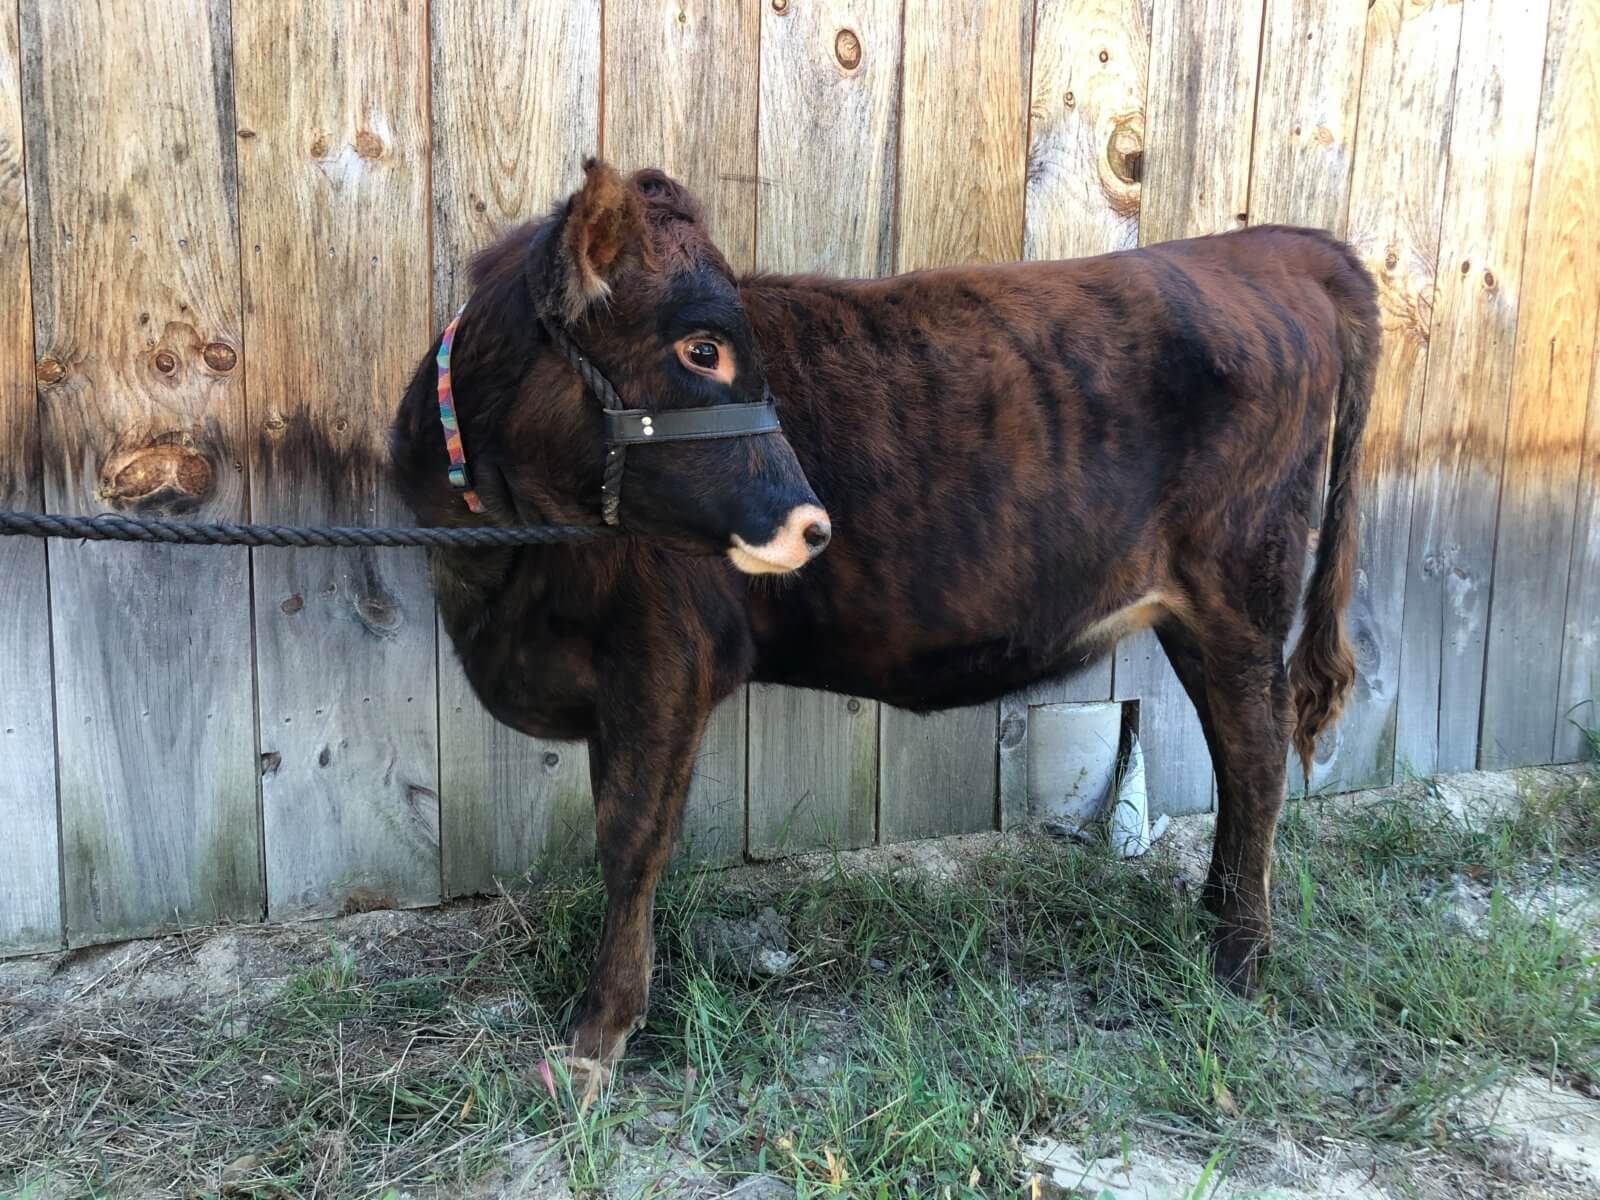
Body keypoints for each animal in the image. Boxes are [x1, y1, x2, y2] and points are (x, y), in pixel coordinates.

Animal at [390, 159, 1379, 1103]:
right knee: (1235, 752)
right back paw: (1215, 915)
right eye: (702, 347)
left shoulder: (663, 662)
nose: (812, 526)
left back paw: (1238, 959)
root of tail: (1271, 248)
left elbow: (630, 843)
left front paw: (598, 1040)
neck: (498, 566)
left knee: (1255, 756)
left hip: (1241, 588)